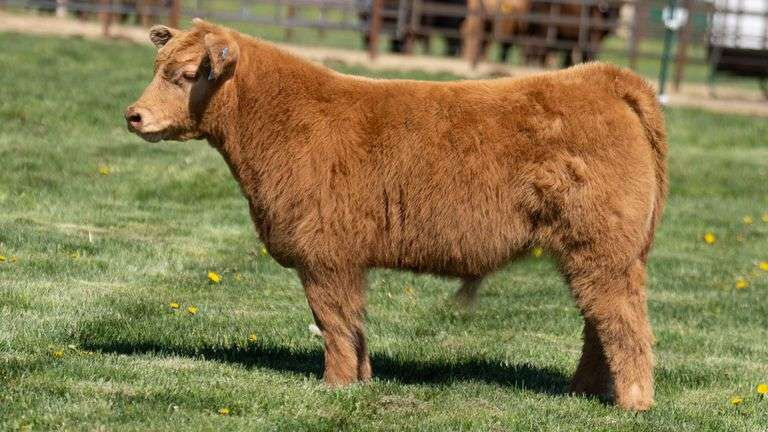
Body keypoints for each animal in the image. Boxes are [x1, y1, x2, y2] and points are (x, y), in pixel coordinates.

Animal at [125, 19, 667, 411]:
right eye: (157, 67)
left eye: (187, 75)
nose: (133, 115)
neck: (280, 122)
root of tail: (600, 77)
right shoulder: (345, 259)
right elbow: (353, 323)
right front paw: (362, 381)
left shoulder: (324, 255)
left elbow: (333, 321)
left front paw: (336, 386)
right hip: (601, 254)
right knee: (599, 322)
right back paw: (586, 393)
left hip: (600, 249)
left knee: (624, 323)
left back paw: (633, 404)